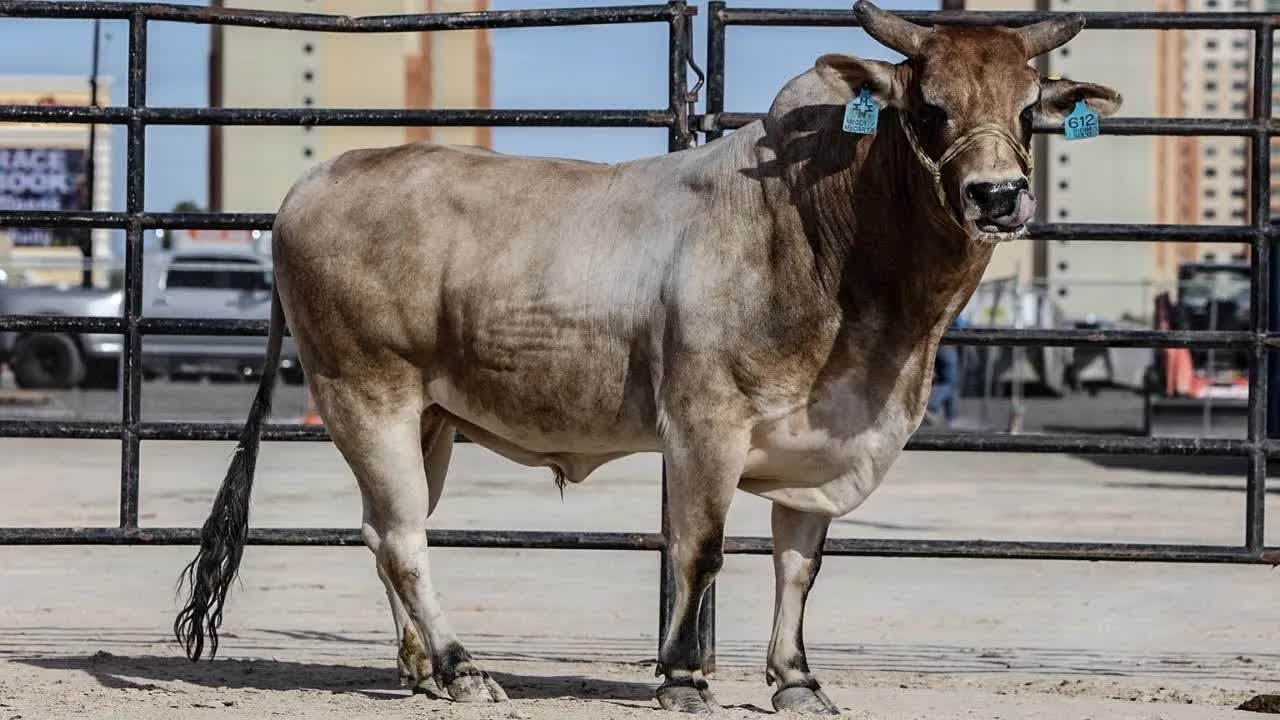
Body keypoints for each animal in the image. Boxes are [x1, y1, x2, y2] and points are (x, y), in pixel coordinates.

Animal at [174, 2, 1120, 714]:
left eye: (1029, 109)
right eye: (930, 108)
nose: (998, 195)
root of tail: (318, 178)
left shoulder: (822, 441)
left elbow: (800, 564)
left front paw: (797, 682)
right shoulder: (705, 425)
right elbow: (698, 551)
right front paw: (682, 678)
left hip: (430, 420)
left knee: (383, 530)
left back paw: (419, 669)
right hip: (365, 395)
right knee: (402, 535)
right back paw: (460, 667)